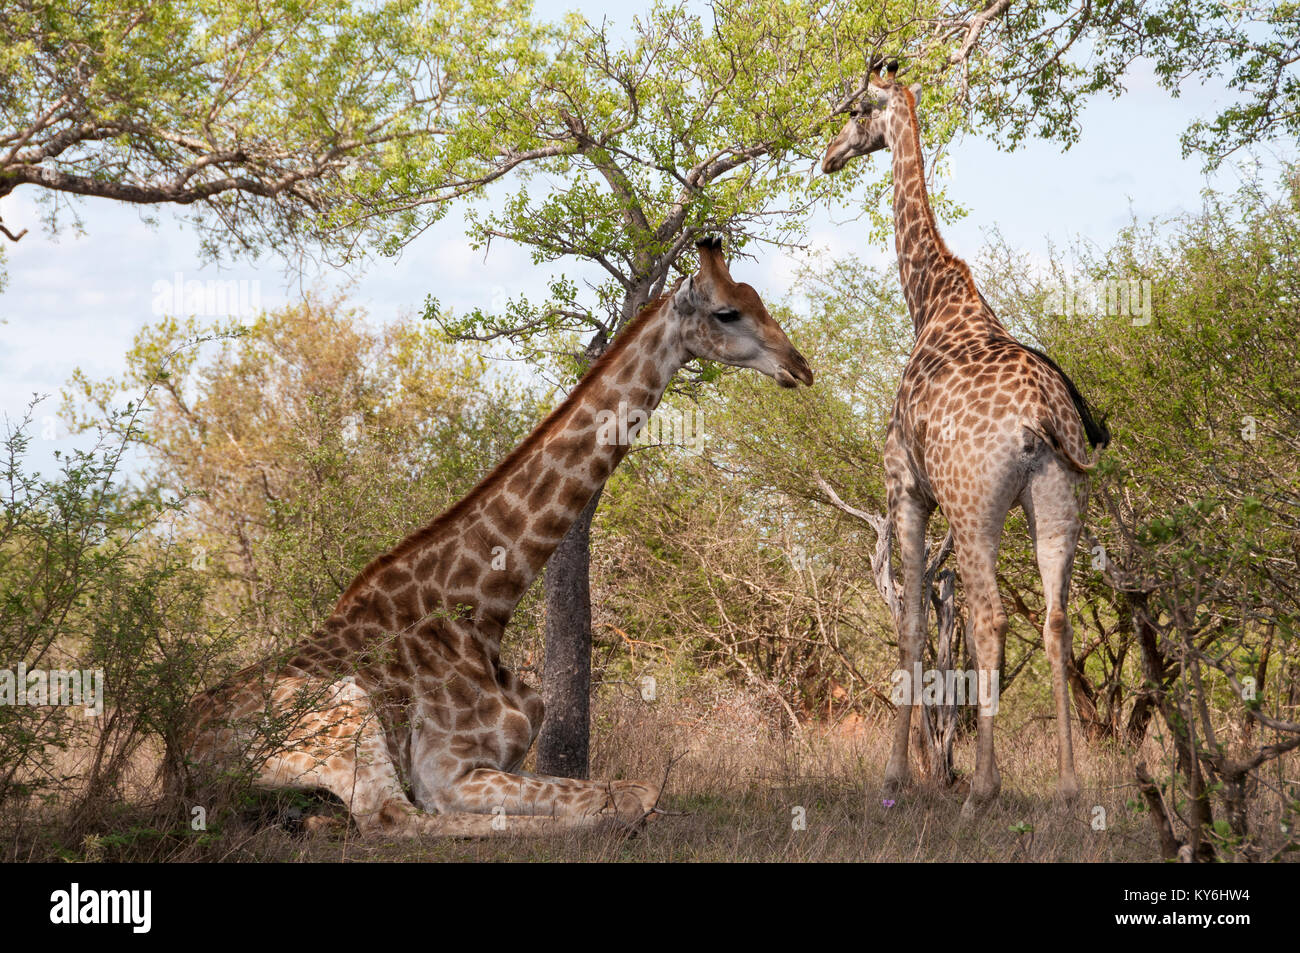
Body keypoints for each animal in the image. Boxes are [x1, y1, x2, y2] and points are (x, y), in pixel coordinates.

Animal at [183, 238, 814, 836]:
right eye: (728, 312)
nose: (800, 367)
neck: (483, 607)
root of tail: (176, 757)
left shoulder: (507, 759)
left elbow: (626, 790)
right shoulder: (445, 774)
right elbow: (628, 794)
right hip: (343, 715)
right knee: (395, 820)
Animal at [821, 64, 1110, 816]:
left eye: (855, 110)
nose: (829, 155)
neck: (927, 300)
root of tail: (1041, 417)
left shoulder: (907, 487)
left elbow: (911, 623)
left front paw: (893, 778)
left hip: (977, 504)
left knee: (990, 620)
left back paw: (982, 789)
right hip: (1059, 500)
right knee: (1056, 620)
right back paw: (1069, 787)